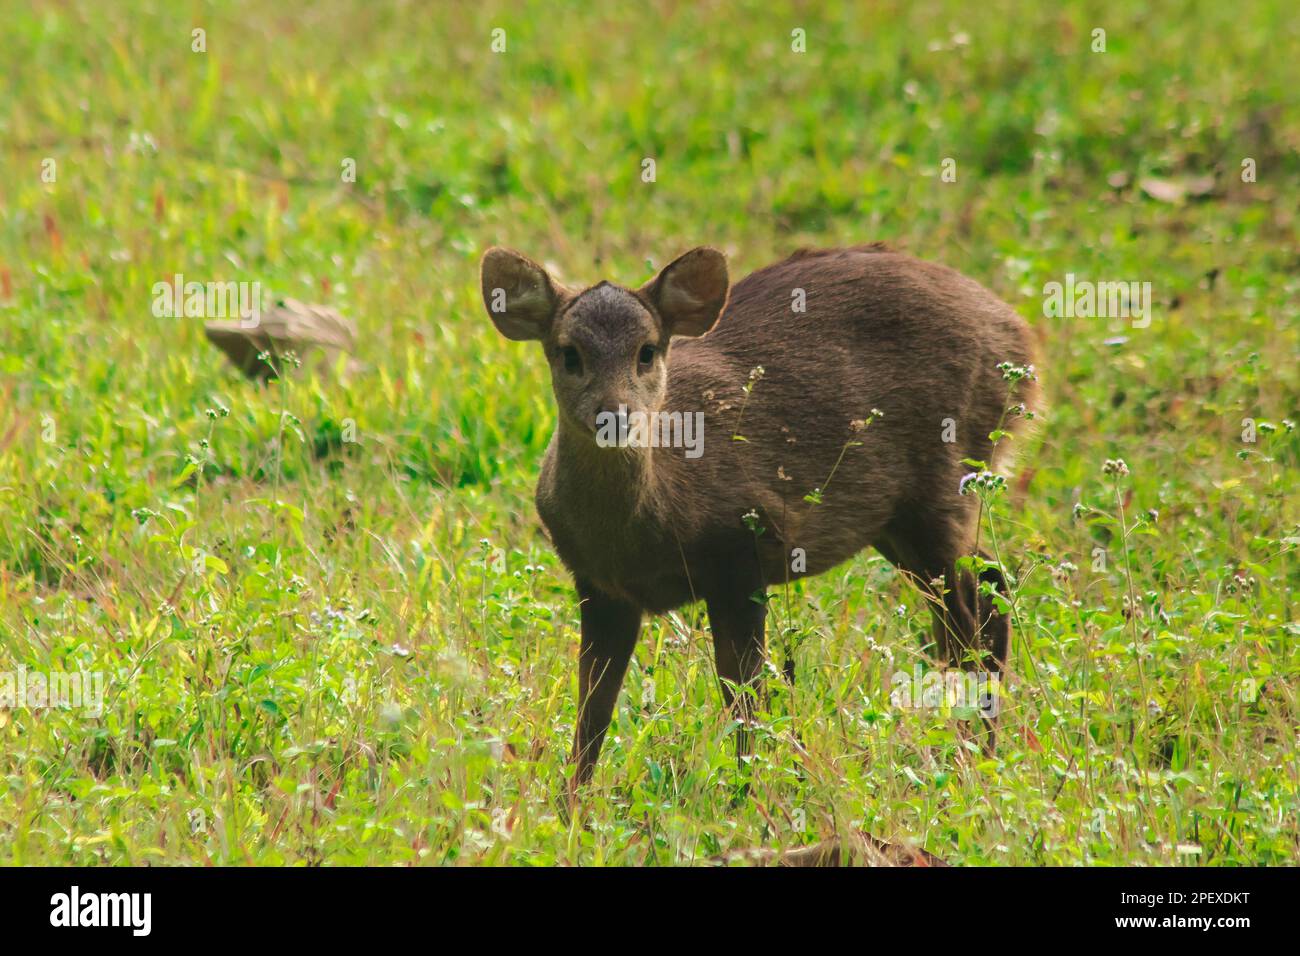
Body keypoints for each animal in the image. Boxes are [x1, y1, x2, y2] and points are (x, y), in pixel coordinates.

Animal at [478, 243, 1039, 807]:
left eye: (647, 350)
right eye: (569, 352)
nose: (614, 417)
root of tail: (1019, 339)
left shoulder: (741, 556)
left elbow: (743, 698)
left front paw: (745, 798)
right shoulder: (598, 586)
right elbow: (592, 706)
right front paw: (571, 804)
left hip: (944, 484)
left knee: (977, 614)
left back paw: (969, 762)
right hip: (901, 521)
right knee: (979, 601)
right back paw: (970, 756)